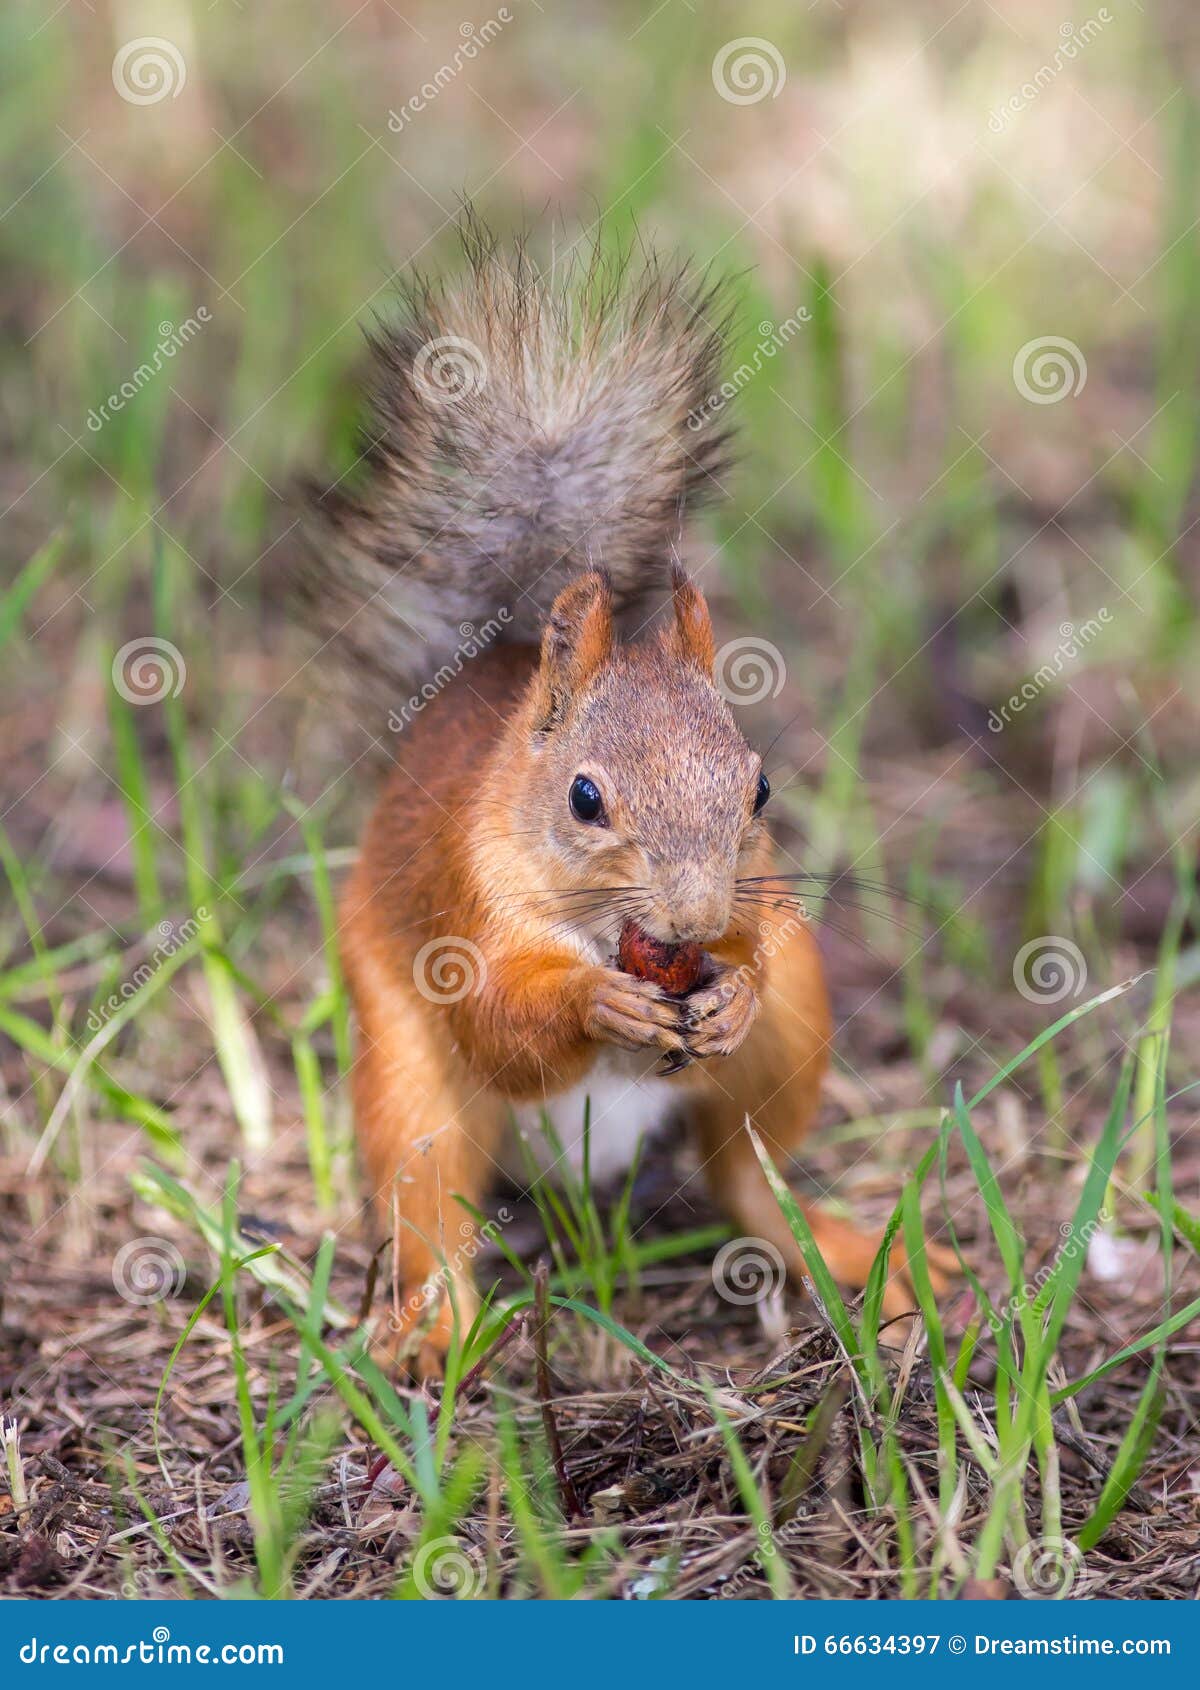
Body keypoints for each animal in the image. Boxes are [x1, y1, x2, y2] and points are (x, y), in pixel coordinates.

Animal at [301, 224, 953, 1374]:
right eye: (584, 797)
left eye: (760, 786)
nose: (691, 920)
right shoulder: (461, 905)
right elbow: (499, 1019)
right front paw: (591, 1004)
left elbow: (755, 954)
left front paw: (730, 988)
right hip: (404, 1075)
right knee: (428, 1202)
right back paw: (436, 1326)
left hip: (789, 1046)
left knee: (747, 1172)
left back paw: (845, 1245)